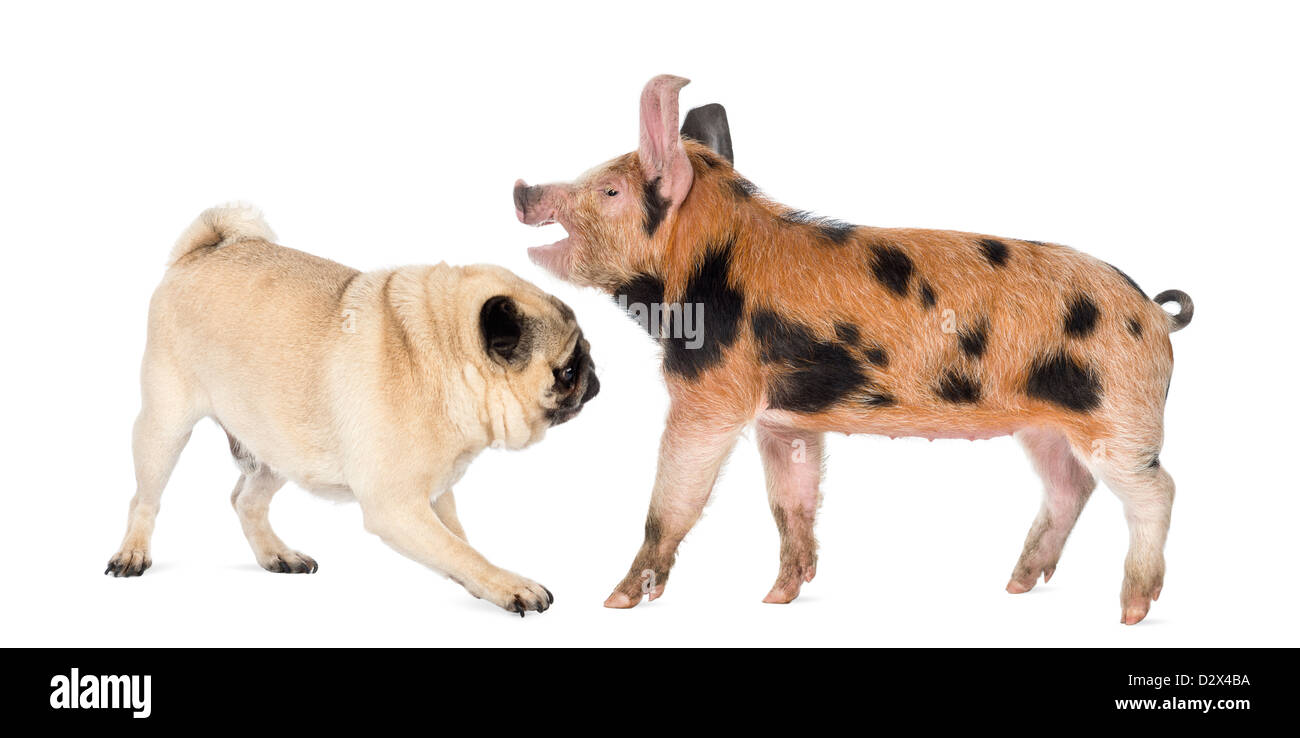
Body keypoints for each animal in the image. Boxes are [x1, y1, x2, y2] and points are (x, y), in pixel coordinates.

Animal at [513, 74, 1194, 625]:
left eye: (610, 191)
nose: (522, 188)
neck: (701, 271)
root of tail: (1154, 314)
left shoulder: (710, 395)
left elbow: (672, 499)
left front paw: (615, 602)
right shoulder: (785, 419)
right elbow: (791, 500)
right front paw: (778, 598)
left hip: (1119, 415)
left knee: (1157, 491)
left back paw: (1131, 612)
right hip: (1046, 426)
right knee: (1069, 487)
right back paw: (1016, 586)